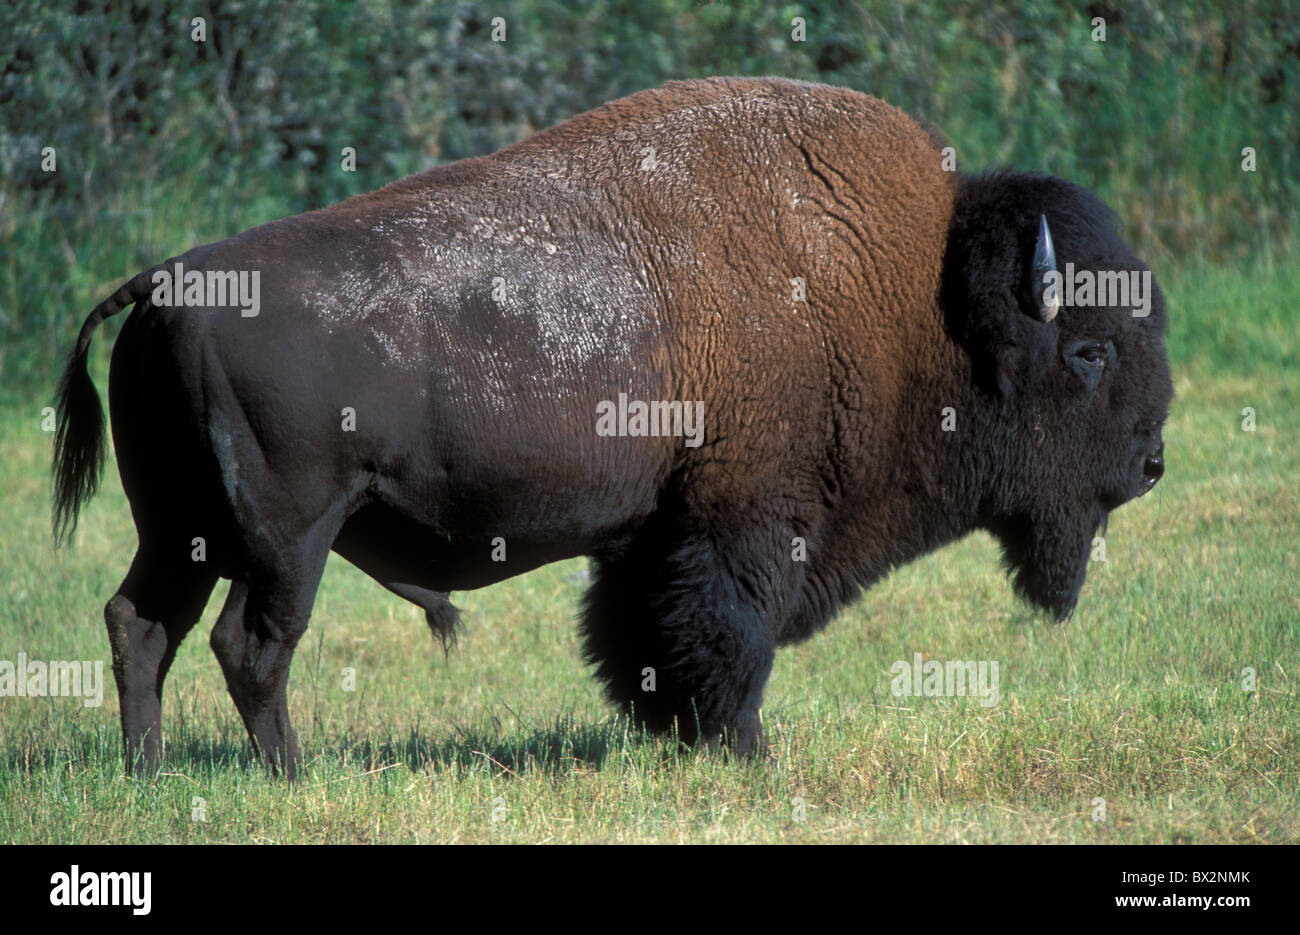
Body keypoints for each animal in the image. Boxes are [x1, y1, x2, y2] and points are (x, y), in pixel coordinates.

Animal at [52, 77, 1172, 779]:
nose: (1154, 461)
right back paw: (291, 778)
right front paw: (746, 752)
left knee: (141, 623)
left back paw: (148, 775)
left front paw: (678, 737)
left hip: (182, 528)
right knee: (251, 644)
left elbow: (644, 636)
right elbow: (729, 637)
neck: (917, 296)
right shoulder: (746, 521)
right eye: (1088, 353)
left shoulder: (653, 535)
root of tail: (168, 281)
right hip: (289, 538)